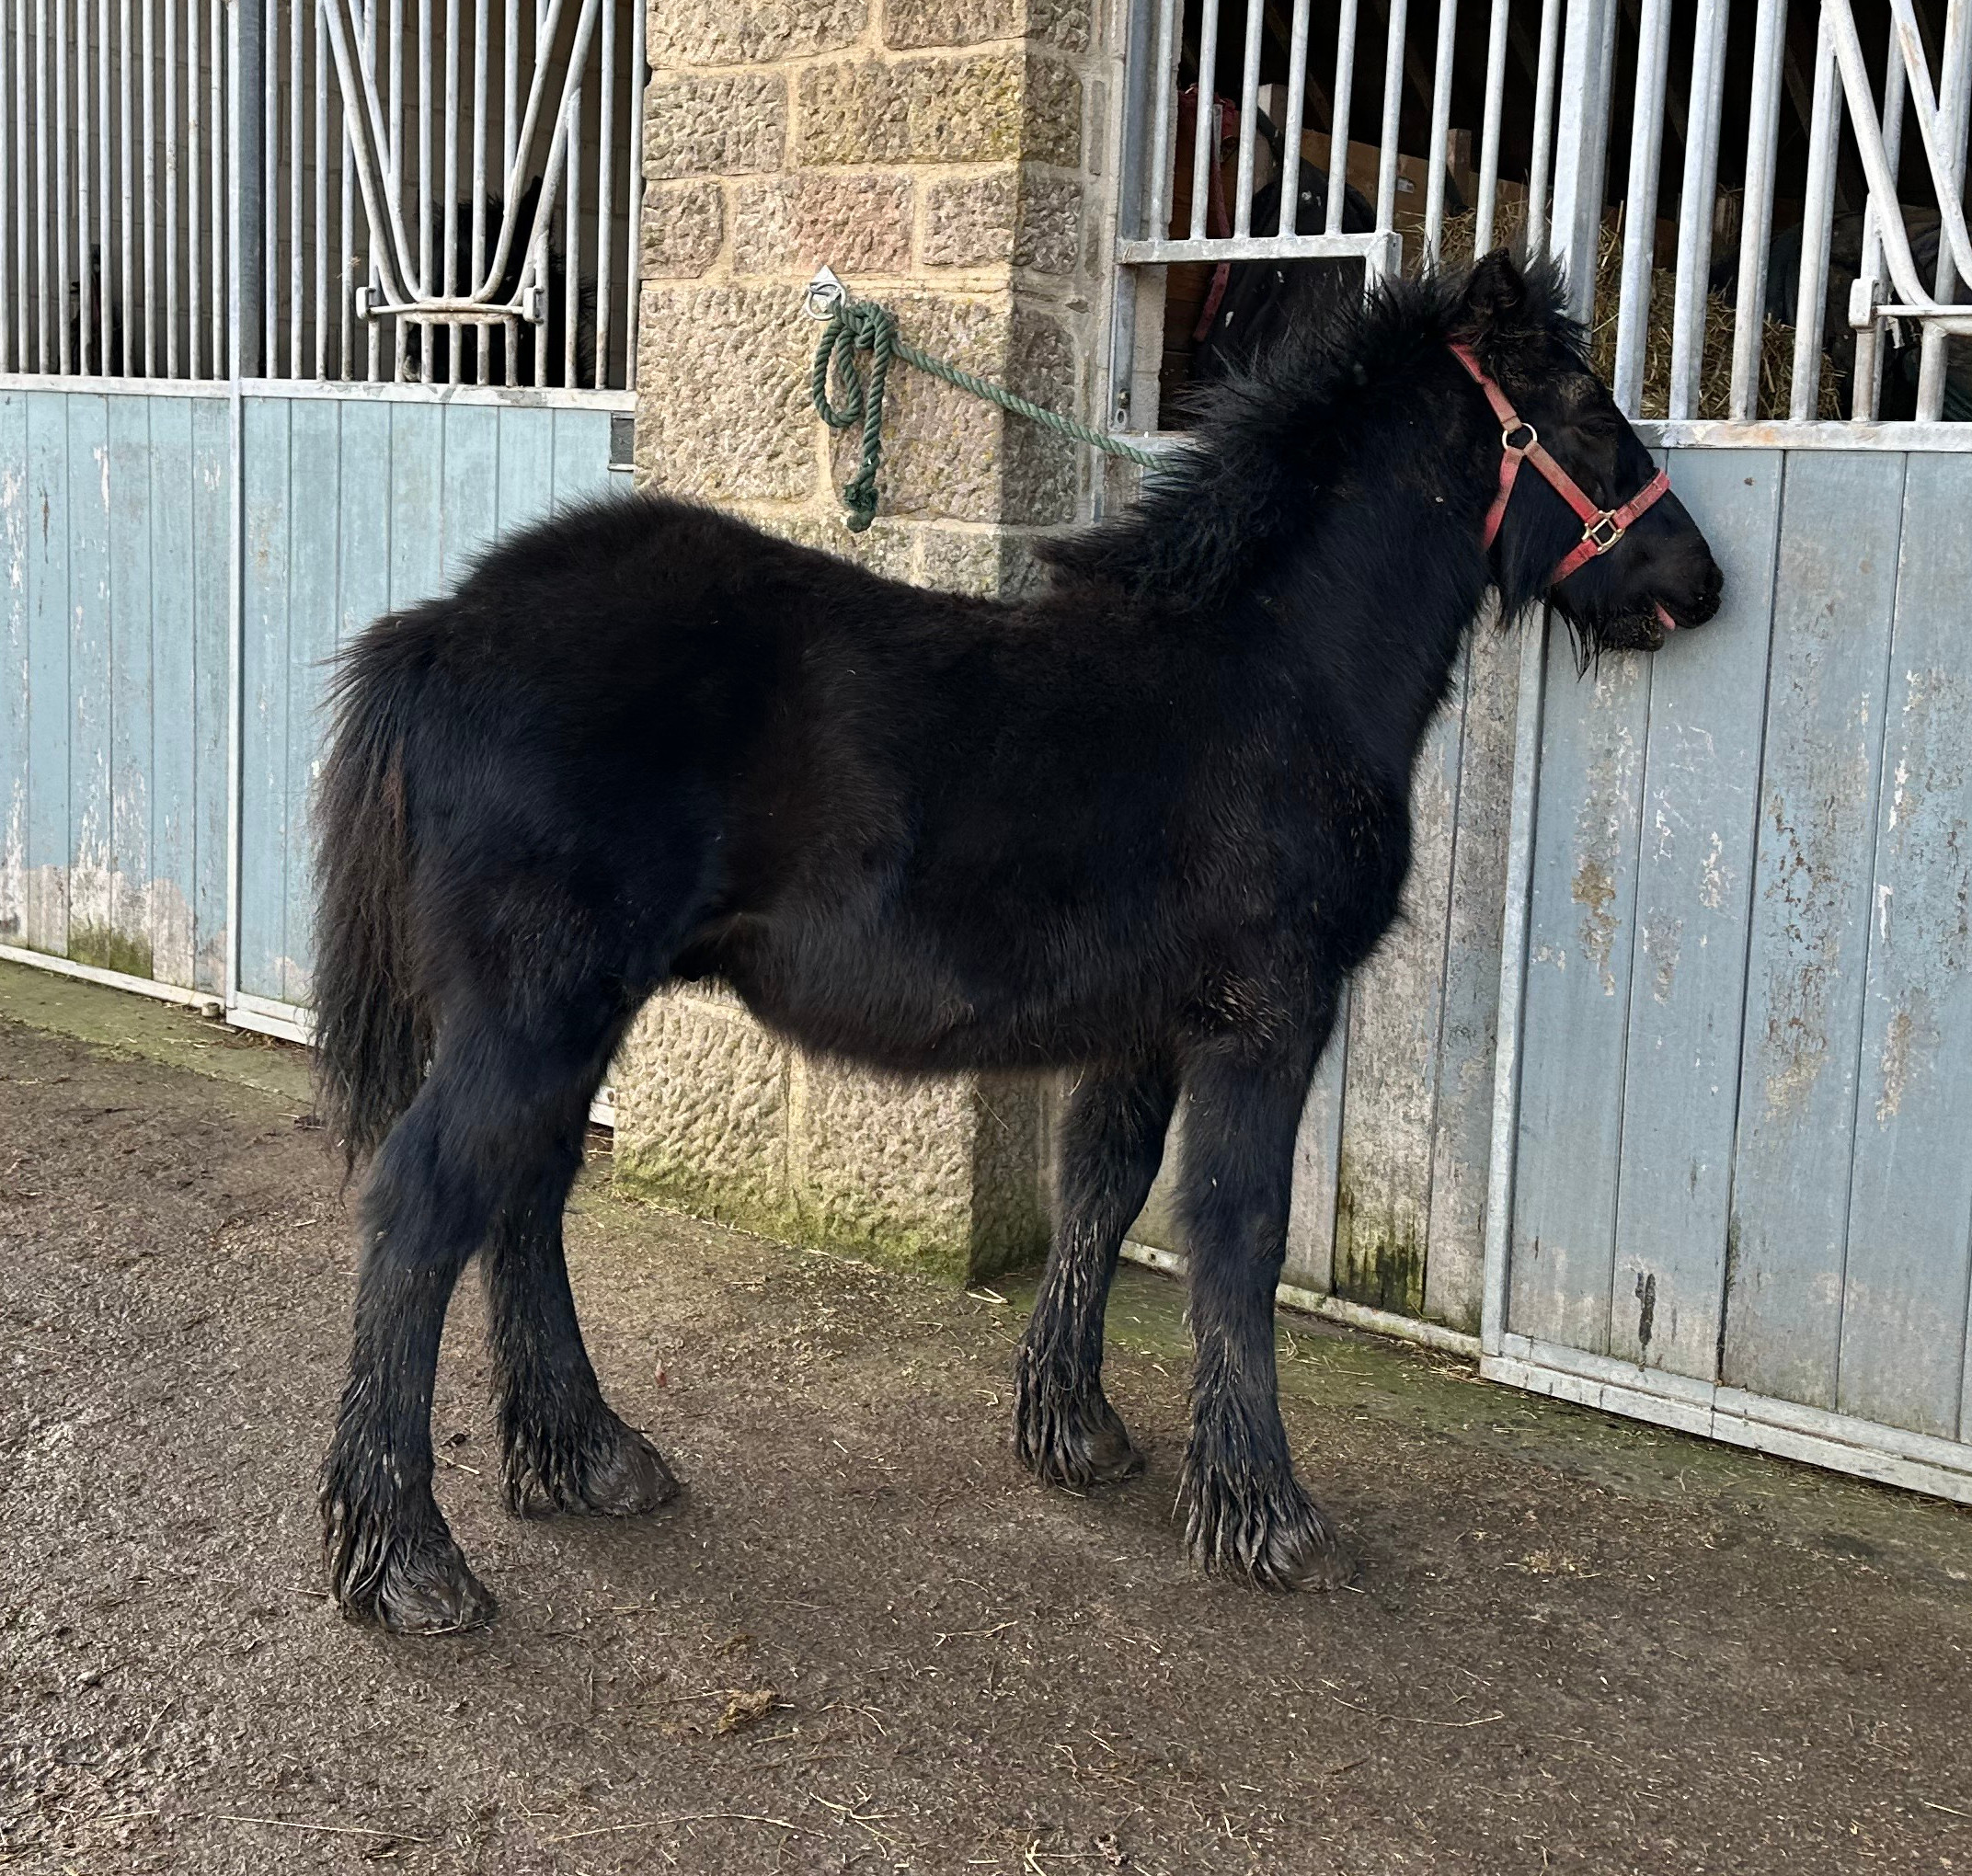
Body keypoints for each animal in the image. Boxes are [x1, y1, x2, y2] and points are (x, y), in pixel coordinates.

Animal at [311, 251, 1723, 1632]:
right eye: (1584, 413)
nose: (1700, 582)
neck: (1275, 673)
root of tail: (443, 628)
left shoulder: (1153, 1024)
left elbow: (1101, 1190)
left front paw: (1075, 1429)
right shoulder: (1270, 1017)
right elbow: (1238, 1235)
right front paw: (1264, 1513)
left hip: (574, 1010)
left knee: (525, 1192)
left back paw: (587, 1456)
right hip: (538, 1006)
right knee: (429, 1204)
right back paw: (408, 1557)